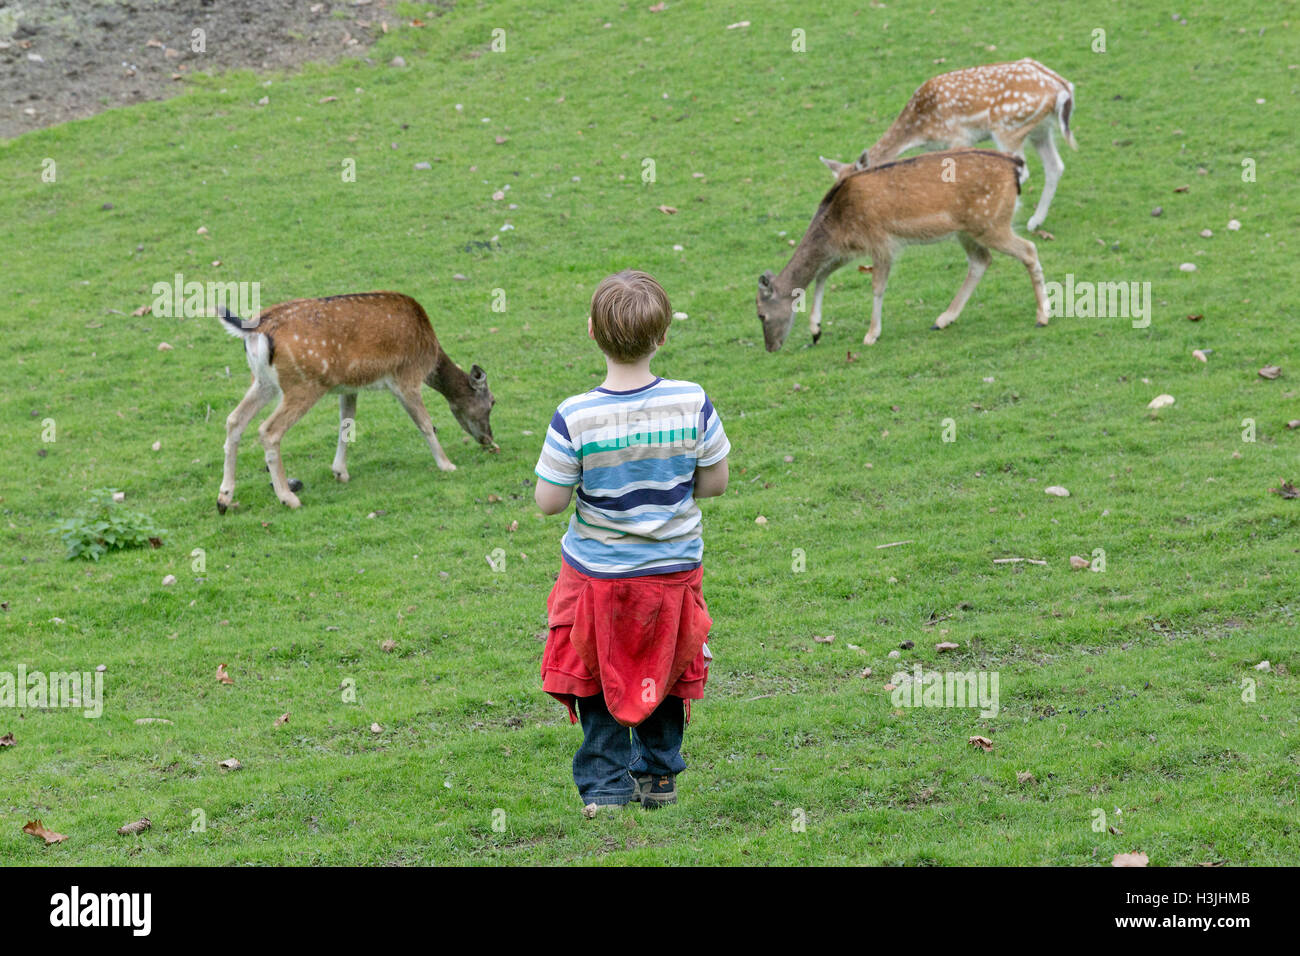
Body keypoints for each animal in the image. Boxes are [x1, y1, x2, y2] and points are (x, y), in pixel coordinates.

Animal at [215, 292, 497, 512]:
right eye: (493, 402)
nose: (490, 440)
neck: (429, 357)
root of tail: (257, 329)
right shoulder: (405, 378)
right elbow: (426, 424)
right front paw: (447, 465)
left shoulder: (348, 387)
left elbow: (346, 424)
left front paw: (340, 472)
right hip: (303, 384)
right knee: (268, 430)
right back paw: (288, 498)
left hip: (263, 382)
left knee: (234, 420)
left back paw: (224, 499)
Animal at [756, 149, 1049, 351]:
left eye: (761, 314)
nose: (771, 347)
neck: (837, 222)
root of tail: (1016, 166)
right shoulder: (848, 248)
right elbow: (822, 273)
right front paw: (816, 329)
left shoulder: (880, 242)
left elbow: (877, 286)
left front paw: (871, 334)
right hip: (967, 230)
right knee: (981, 261)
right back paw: (943, 319)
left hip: (991, 223)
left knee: (1029, 249)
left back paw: (1042, 316)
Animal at [855, 59, 1077, 233]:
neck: (920, 128)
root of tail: (1063, 89)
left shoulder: (959, 138)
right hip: (1040, 131)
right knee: (1055, 166)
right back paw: (1035, 222)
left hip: (1007, 127)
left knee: (1023, 171)